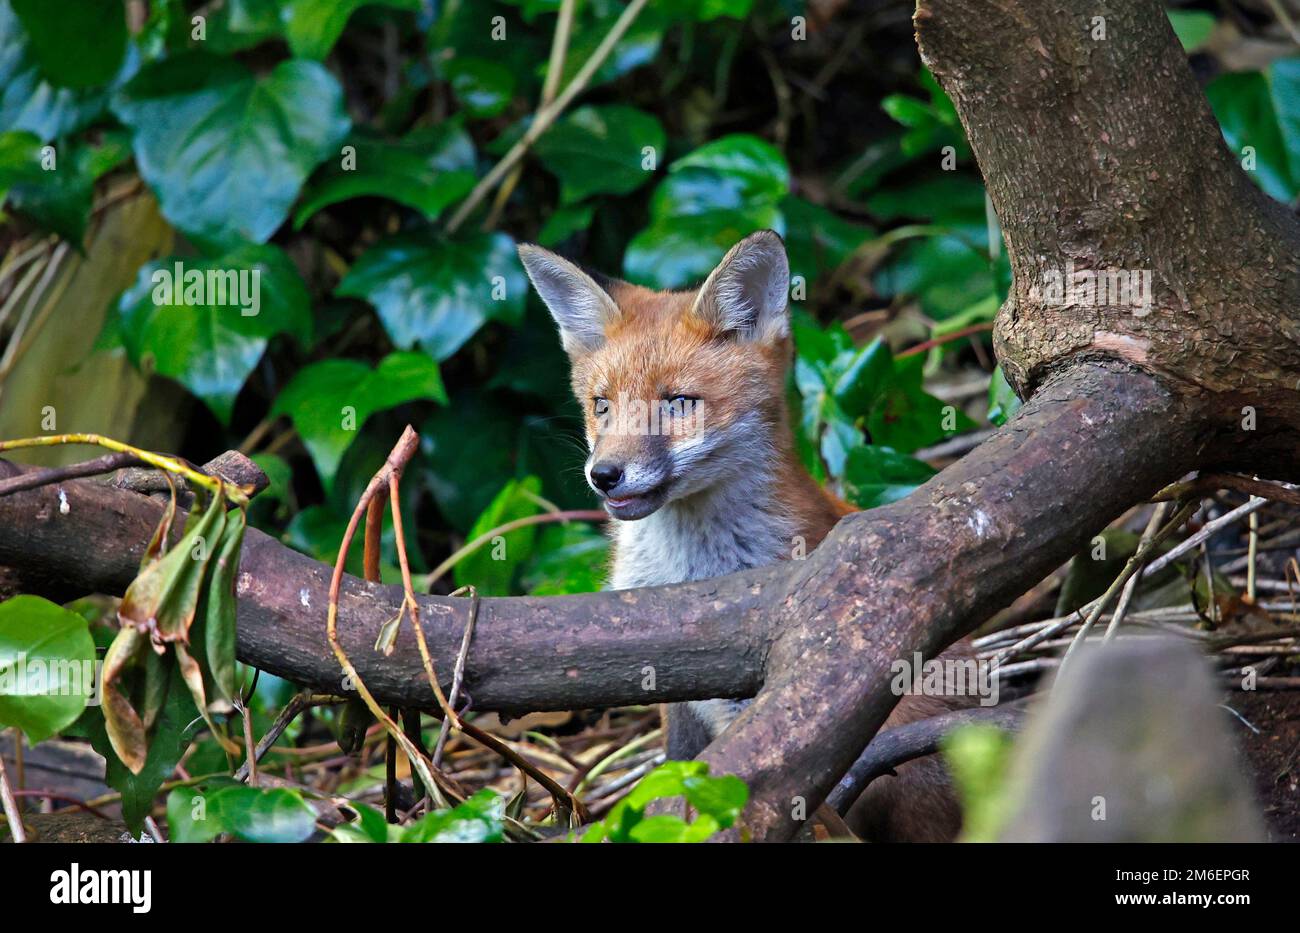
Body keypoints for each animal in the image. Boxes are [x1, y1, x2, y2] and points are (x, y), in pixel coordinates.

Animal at [518, 229, 966, 842]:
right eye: (601, 406)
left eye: (678, 403)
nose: (603, 475)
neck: (686, 572)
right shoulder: (679, 696)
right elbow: (677, 768)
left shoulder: (759, 706)